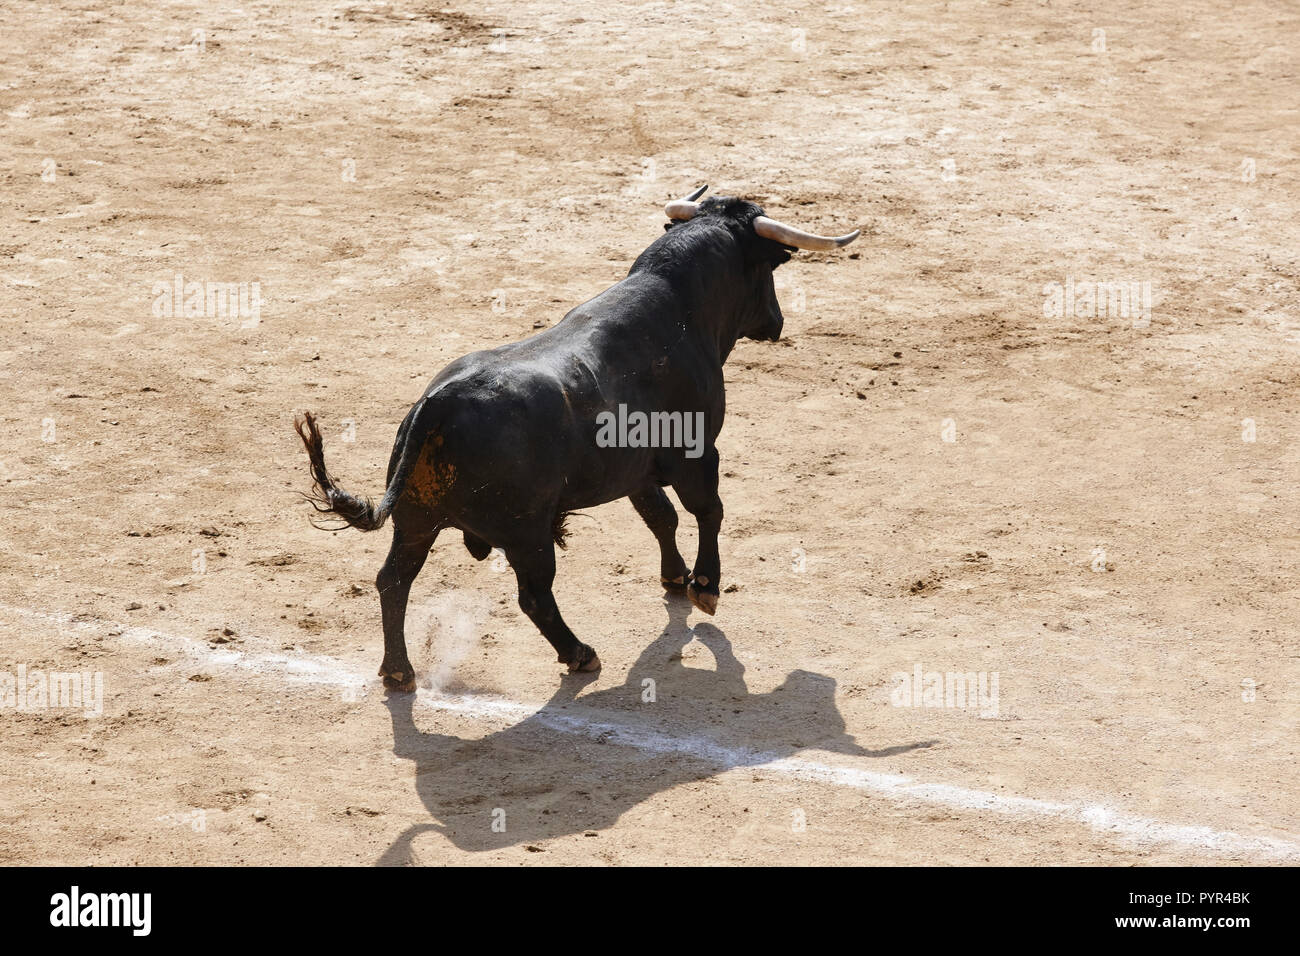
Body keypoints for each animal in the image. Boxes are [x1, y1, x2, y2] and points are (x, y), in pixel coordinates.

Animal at [294, 186, 859, 691]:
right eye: (766, 271)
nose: (777, 323)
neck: (679, 307)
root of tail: (439, 402)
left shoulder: (635, 469)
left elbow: (661, 517)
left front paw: (675, 578)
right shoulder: (695, 454)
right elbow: (707, 511)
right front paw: (705, 586)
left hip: (417, 520)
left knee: (394, 580)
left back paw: (398, 671)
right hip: (524, 532)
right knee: (533, 595)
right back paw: (579, 653)